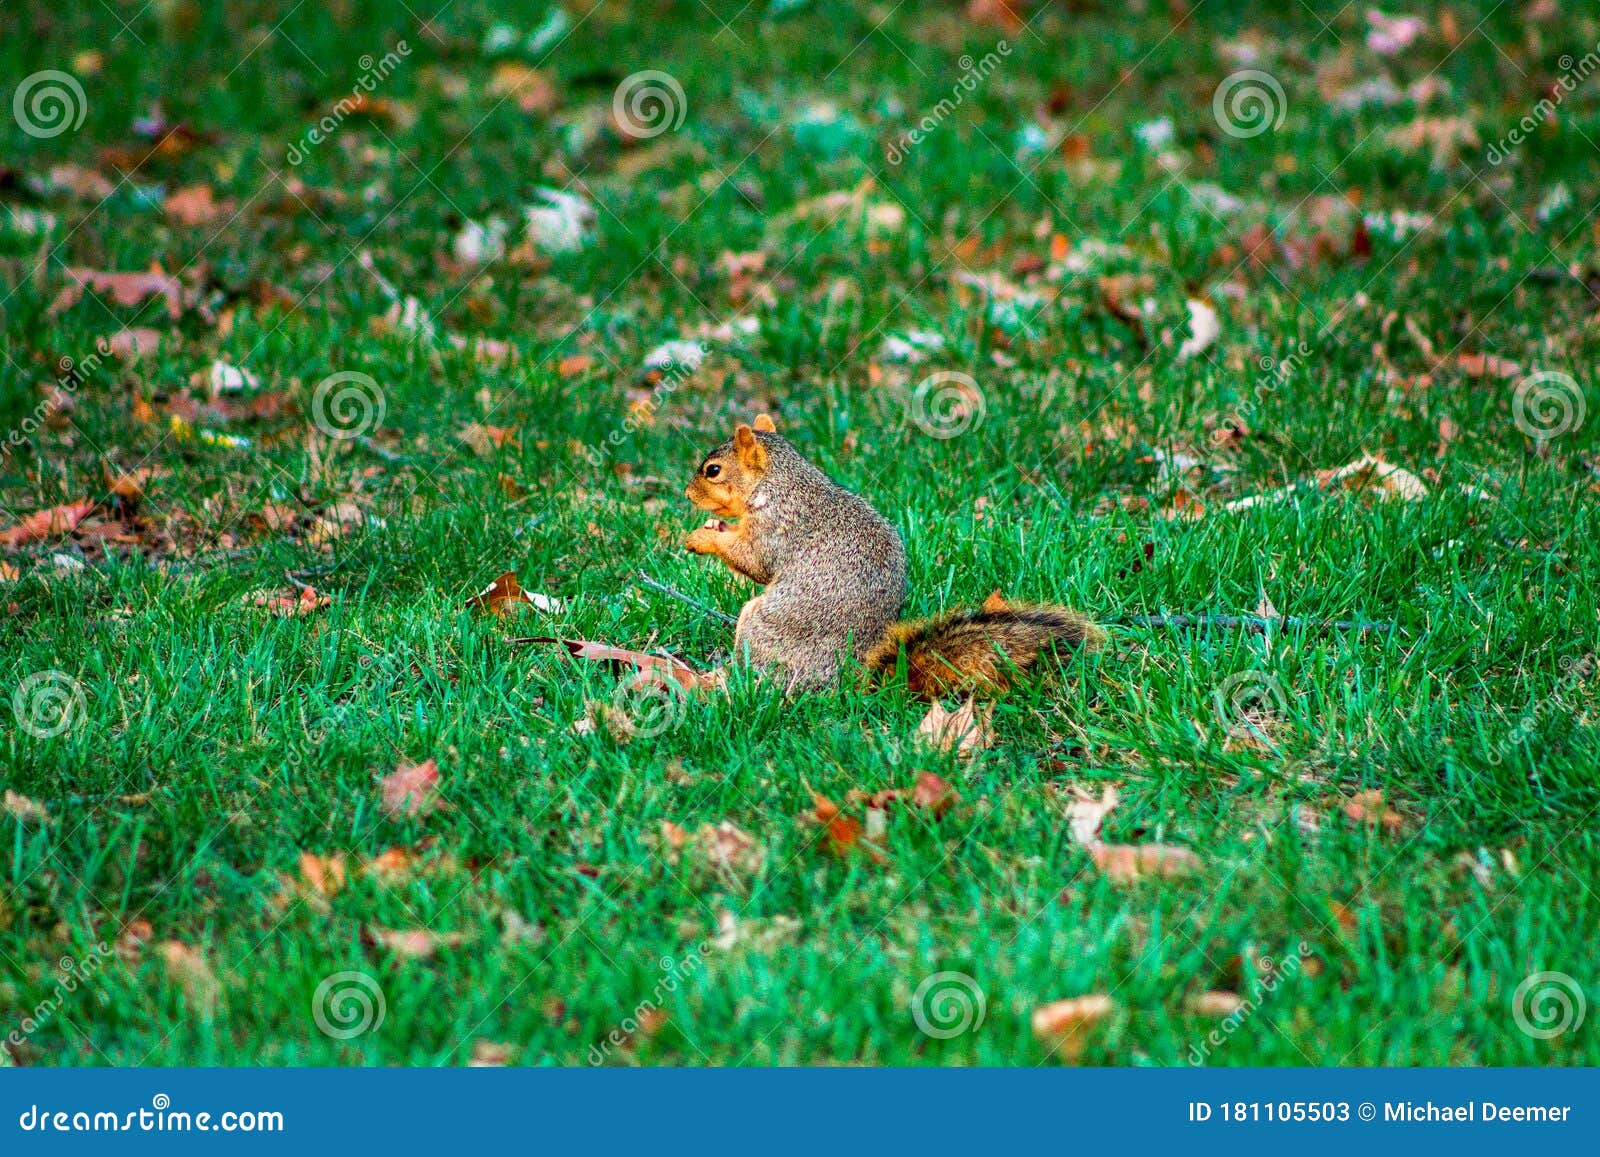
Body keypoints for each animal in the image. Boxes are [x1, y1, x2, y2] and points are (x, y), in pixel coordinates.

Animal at [684, 414, 1103, 696]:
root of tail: (852, 675)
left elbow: (753, 560)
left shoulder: (777, 528)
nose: (687, 494)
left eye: (713, 470)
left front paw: (702, 538)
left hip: (761, 628)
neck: (778, 483)